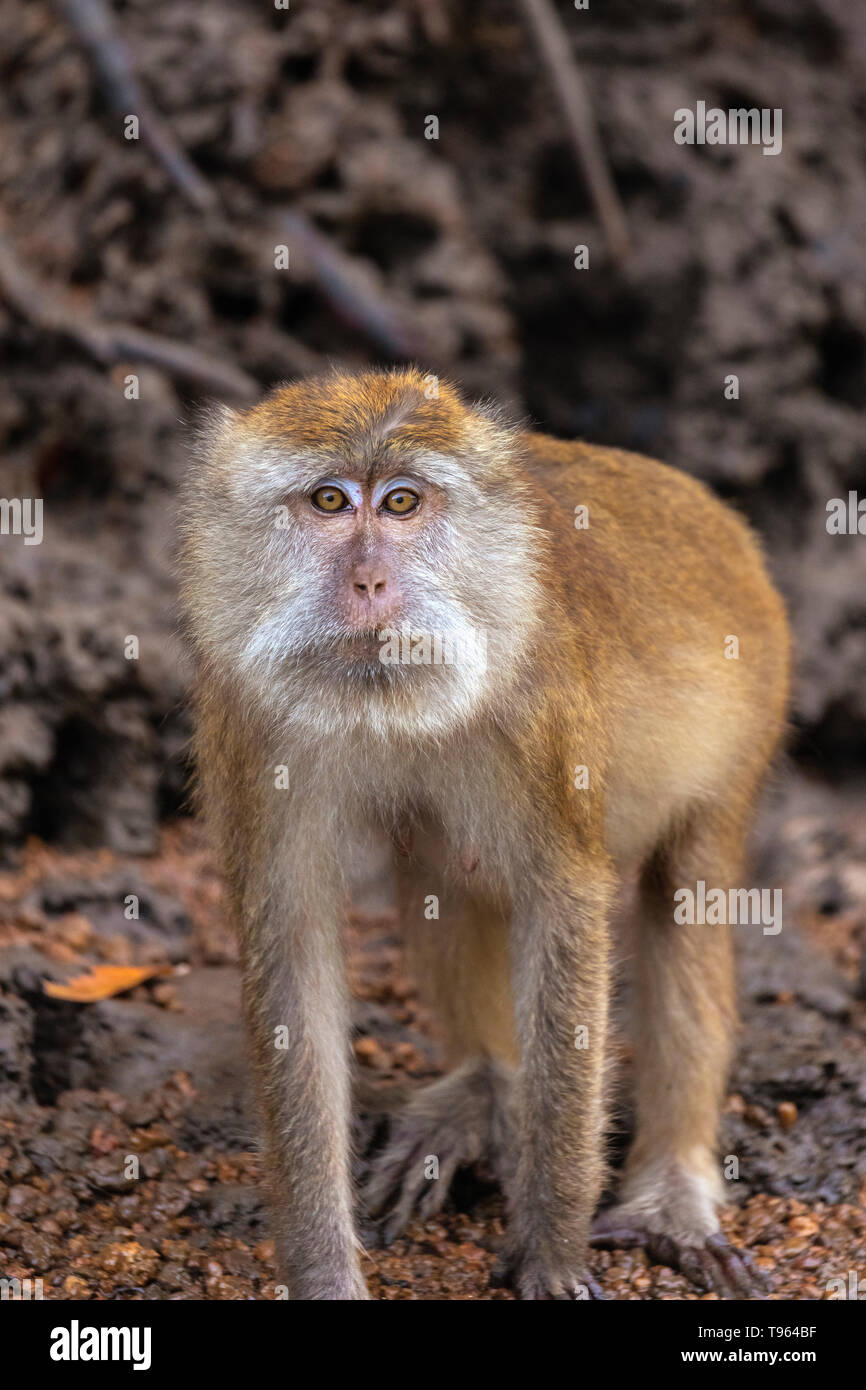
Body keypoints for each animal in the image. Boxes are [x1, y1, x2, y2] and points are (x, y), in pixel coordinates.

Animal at [179, 366, 789, 1300]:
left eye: (401, 503)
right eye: (330, 501)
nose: (369, 584)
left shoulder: (539, 709)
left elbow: (563, 903)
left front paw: (552, 1251)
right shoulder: (249, 720)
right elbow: (291, 944)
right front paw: (323, 1270)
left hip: (754, 704)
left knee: (687, 896)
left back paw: (672, 1192)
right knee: (441, 865)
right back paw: (487, 1086)